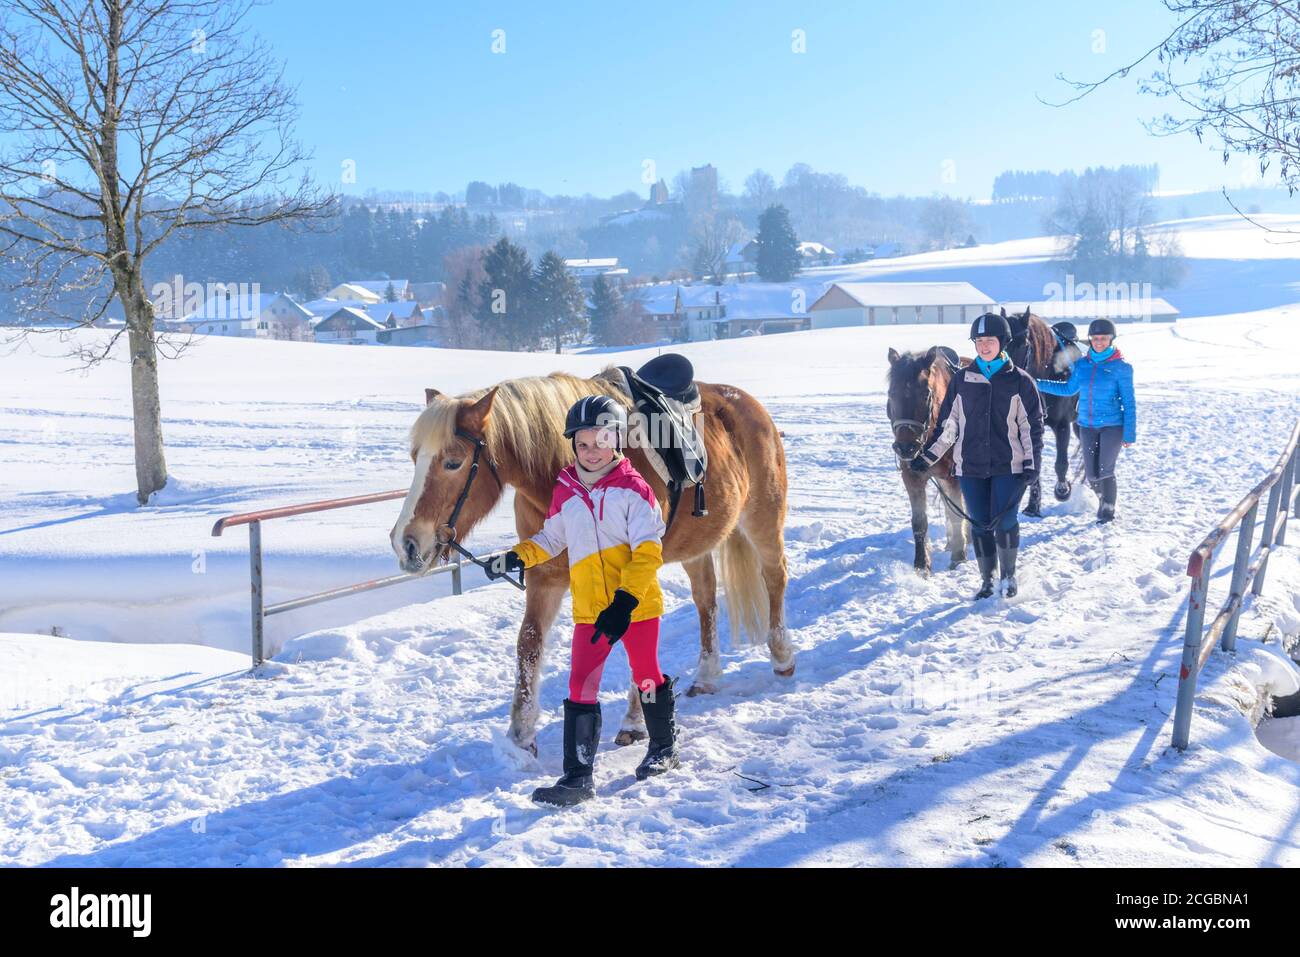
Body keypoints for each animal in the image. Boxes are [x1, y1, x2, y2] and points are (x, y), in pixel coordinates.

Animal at [389, 368, 794, 757]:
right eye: (414, 458)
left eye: (453, 462)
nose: (405, 543)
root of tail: (745, 403)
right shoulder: (545, 575)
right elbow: (529, 644)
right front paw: (520, 738)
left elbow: (636, 637)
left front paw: (634, 721)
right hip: (697, 547)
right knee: (706, 599)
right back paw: (708, 676)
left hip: (763, 518)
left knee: (775, 576)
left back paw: (782, 656)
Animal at [887, 345, 971, 575]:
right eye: (892, 393)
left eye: (926, 394)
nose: (905, 447)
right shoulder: (912, 477)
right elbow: (919, 522)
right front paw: (921, 565)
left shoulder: (953, 476)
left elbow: (956, 514)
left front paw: (959, 557)